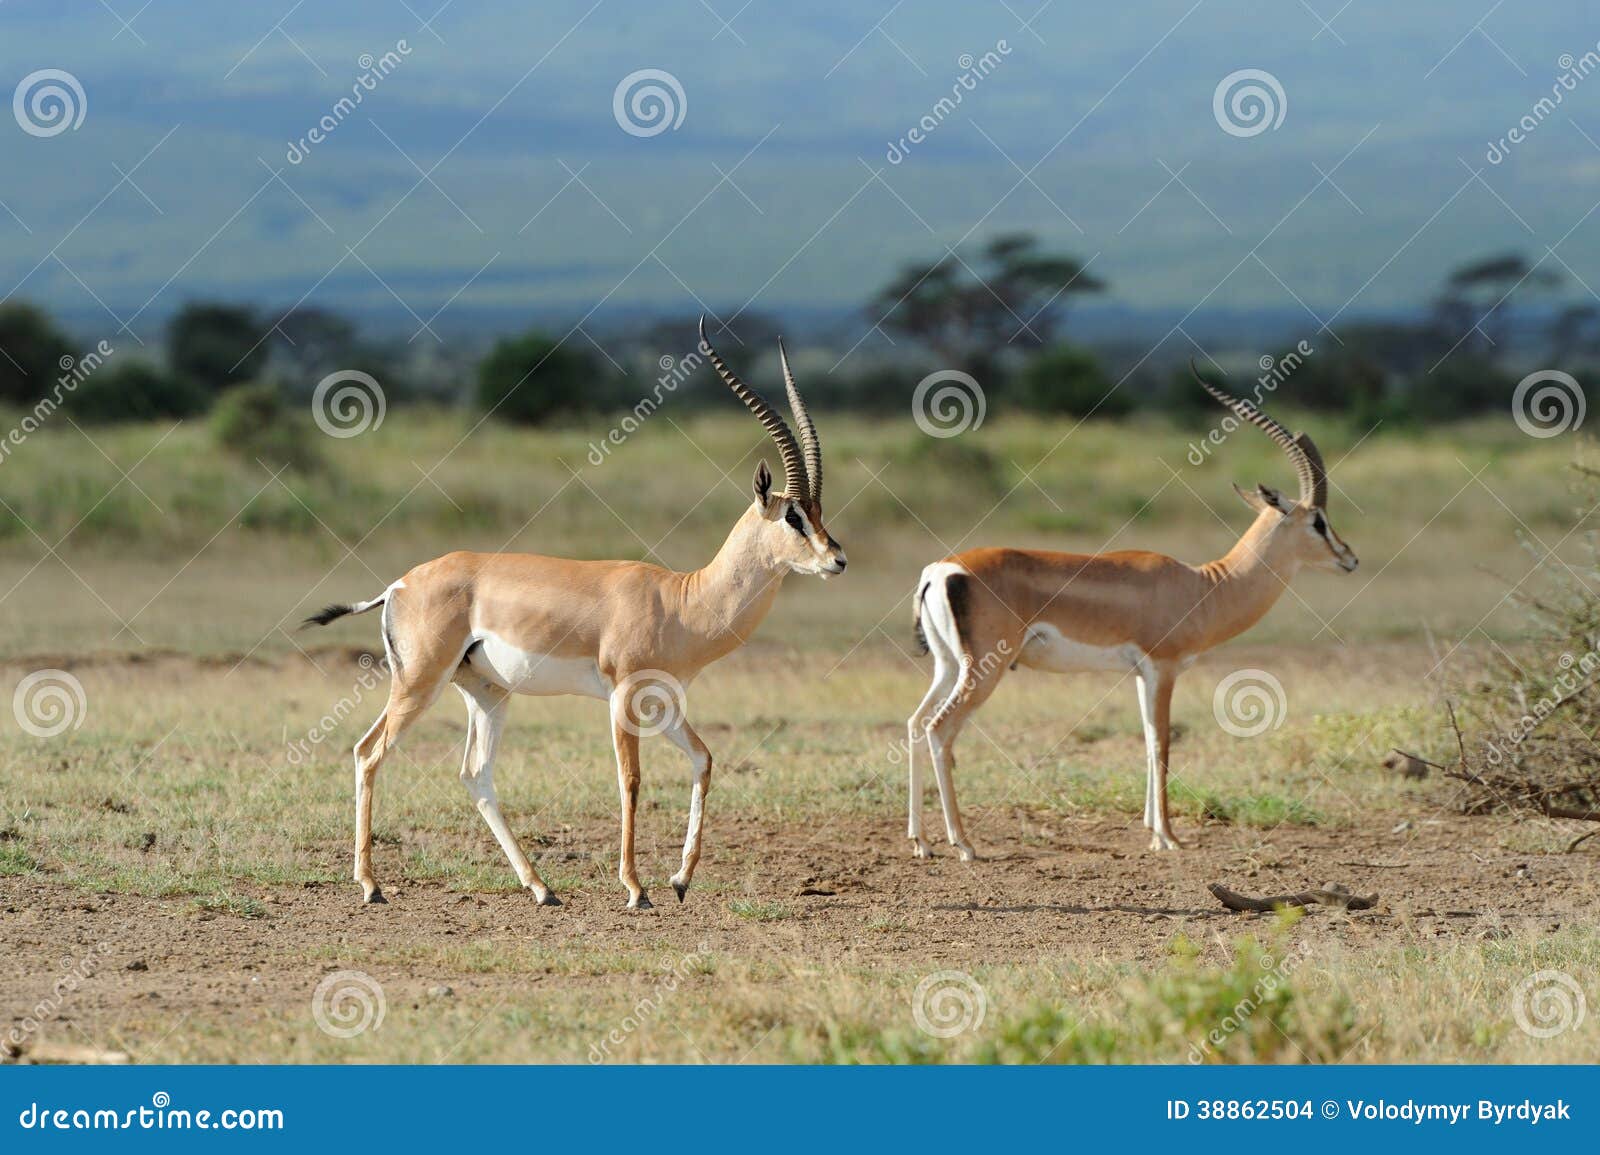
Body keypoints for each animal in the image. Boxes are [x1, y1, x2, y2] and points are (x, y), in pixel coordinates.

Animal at [304, 319, 846, 909]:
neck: (682, 600)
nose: (837, 559)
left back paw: (541, 888)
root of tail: (399, 583)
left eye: (819, 511)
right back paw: (371, 885)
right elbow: (630, 781)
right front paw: (636, 889)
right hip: (419, 682)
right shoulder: (622, 697)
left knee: (475, 774)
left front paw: (679, 880)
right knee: (368, 753)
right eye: (792, 516)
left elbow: (703, 760)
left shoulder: (662, 701)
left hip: (487, 693)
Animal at [905, 367, 1357, 859]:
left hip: (949, 666)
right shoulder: (1163, 667)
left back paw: (921, 841)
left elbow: (1145, 741)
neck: (1204, 586)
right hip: (983, 670)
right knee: (940, 730)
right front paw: (1170, 837)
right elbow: (1162, 742)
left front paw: (1151, 829)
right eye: (1318, 521)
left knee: (915, 723)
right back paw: (963, 844)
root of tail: (940, 569)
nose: (1350, 558)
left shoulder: (1141, 674)